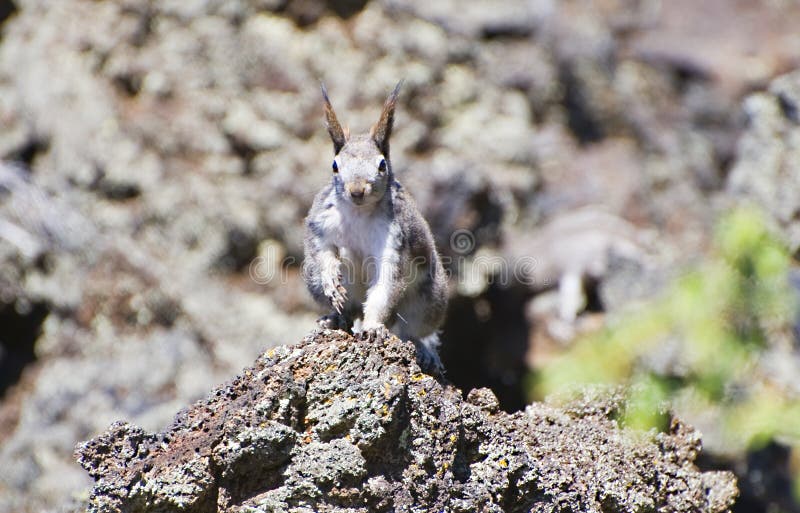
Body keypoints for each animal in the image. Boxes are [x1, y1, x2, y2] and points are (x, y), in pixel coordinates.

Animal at [303, 81, 448, 372]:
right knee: (350, 309)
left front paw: (372, 327)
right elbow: (324, 254)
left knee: (410, 330)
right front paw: (331, 281)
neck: (359, 212)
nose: (357, 190)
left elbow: (385, 285)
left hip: (428, 301)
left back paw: (423, 349)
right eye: (335, 166)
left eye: (382, 165)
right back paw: (336, 318)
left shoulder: (394, 241)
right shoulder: (321, 226)